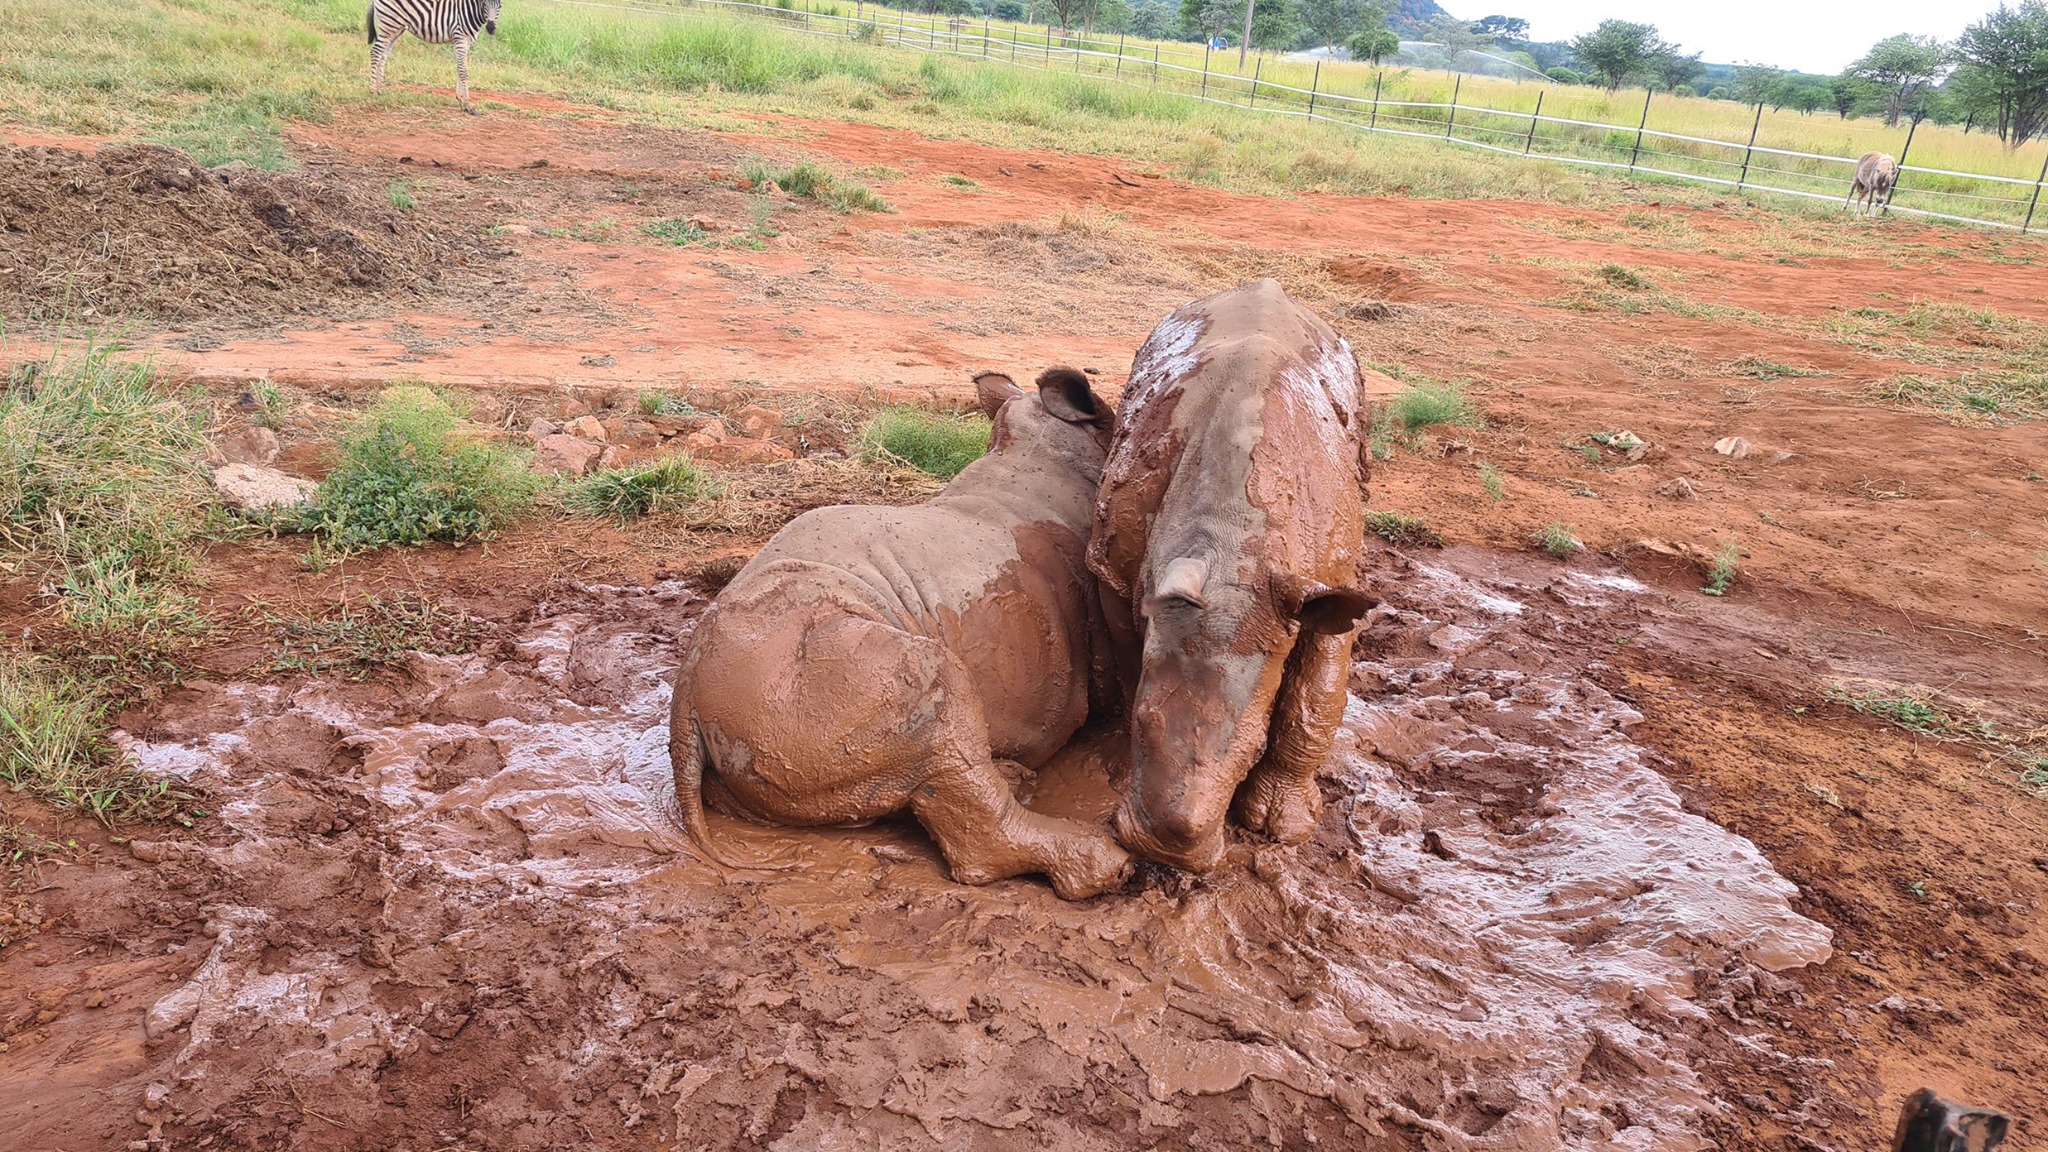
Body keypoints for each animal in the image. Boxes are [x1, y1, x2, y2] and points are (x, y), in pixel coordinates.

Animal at [669, 369, 1132, 899]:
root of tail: (686, 700)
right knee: (937, 685)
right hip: (800, 682)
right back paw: (1105, 863)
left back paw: (1015, 778)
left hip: (767, 690)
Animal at [1090, 280, 1374, 872]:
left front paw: (1286, 828)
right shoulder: (1115, 571)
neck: (1231, 544)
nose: (1168, 851)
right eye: (1143, 727)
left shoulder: (1327, 580)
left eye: (1251, 752)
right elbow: (1129, 665)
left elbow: (1318, 695)